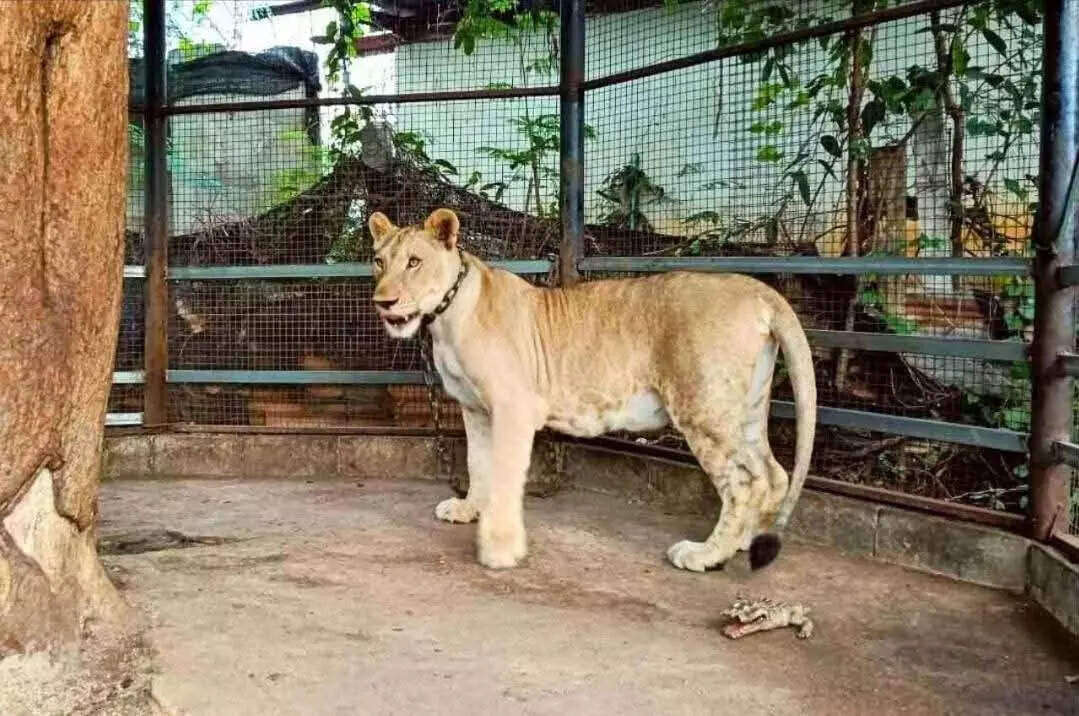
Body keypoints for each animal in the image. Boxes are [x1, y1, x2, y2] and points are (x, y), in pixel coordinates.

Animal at [369, 208, 817, 572]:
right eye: (379, 261)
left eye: (414, 262)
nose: (382, 302)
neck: (445, 317)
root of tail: (758, 289)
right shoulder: (475, 410)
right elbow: (478, 465)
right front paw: (467, 510)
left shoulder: (514, 408)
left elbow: (505, 475)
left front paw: (500, 549)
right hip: (745, 408)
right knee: (773, 473)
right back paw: (744, 542)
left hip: (703, 408)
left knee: (745, 483)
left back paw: (705, 554)